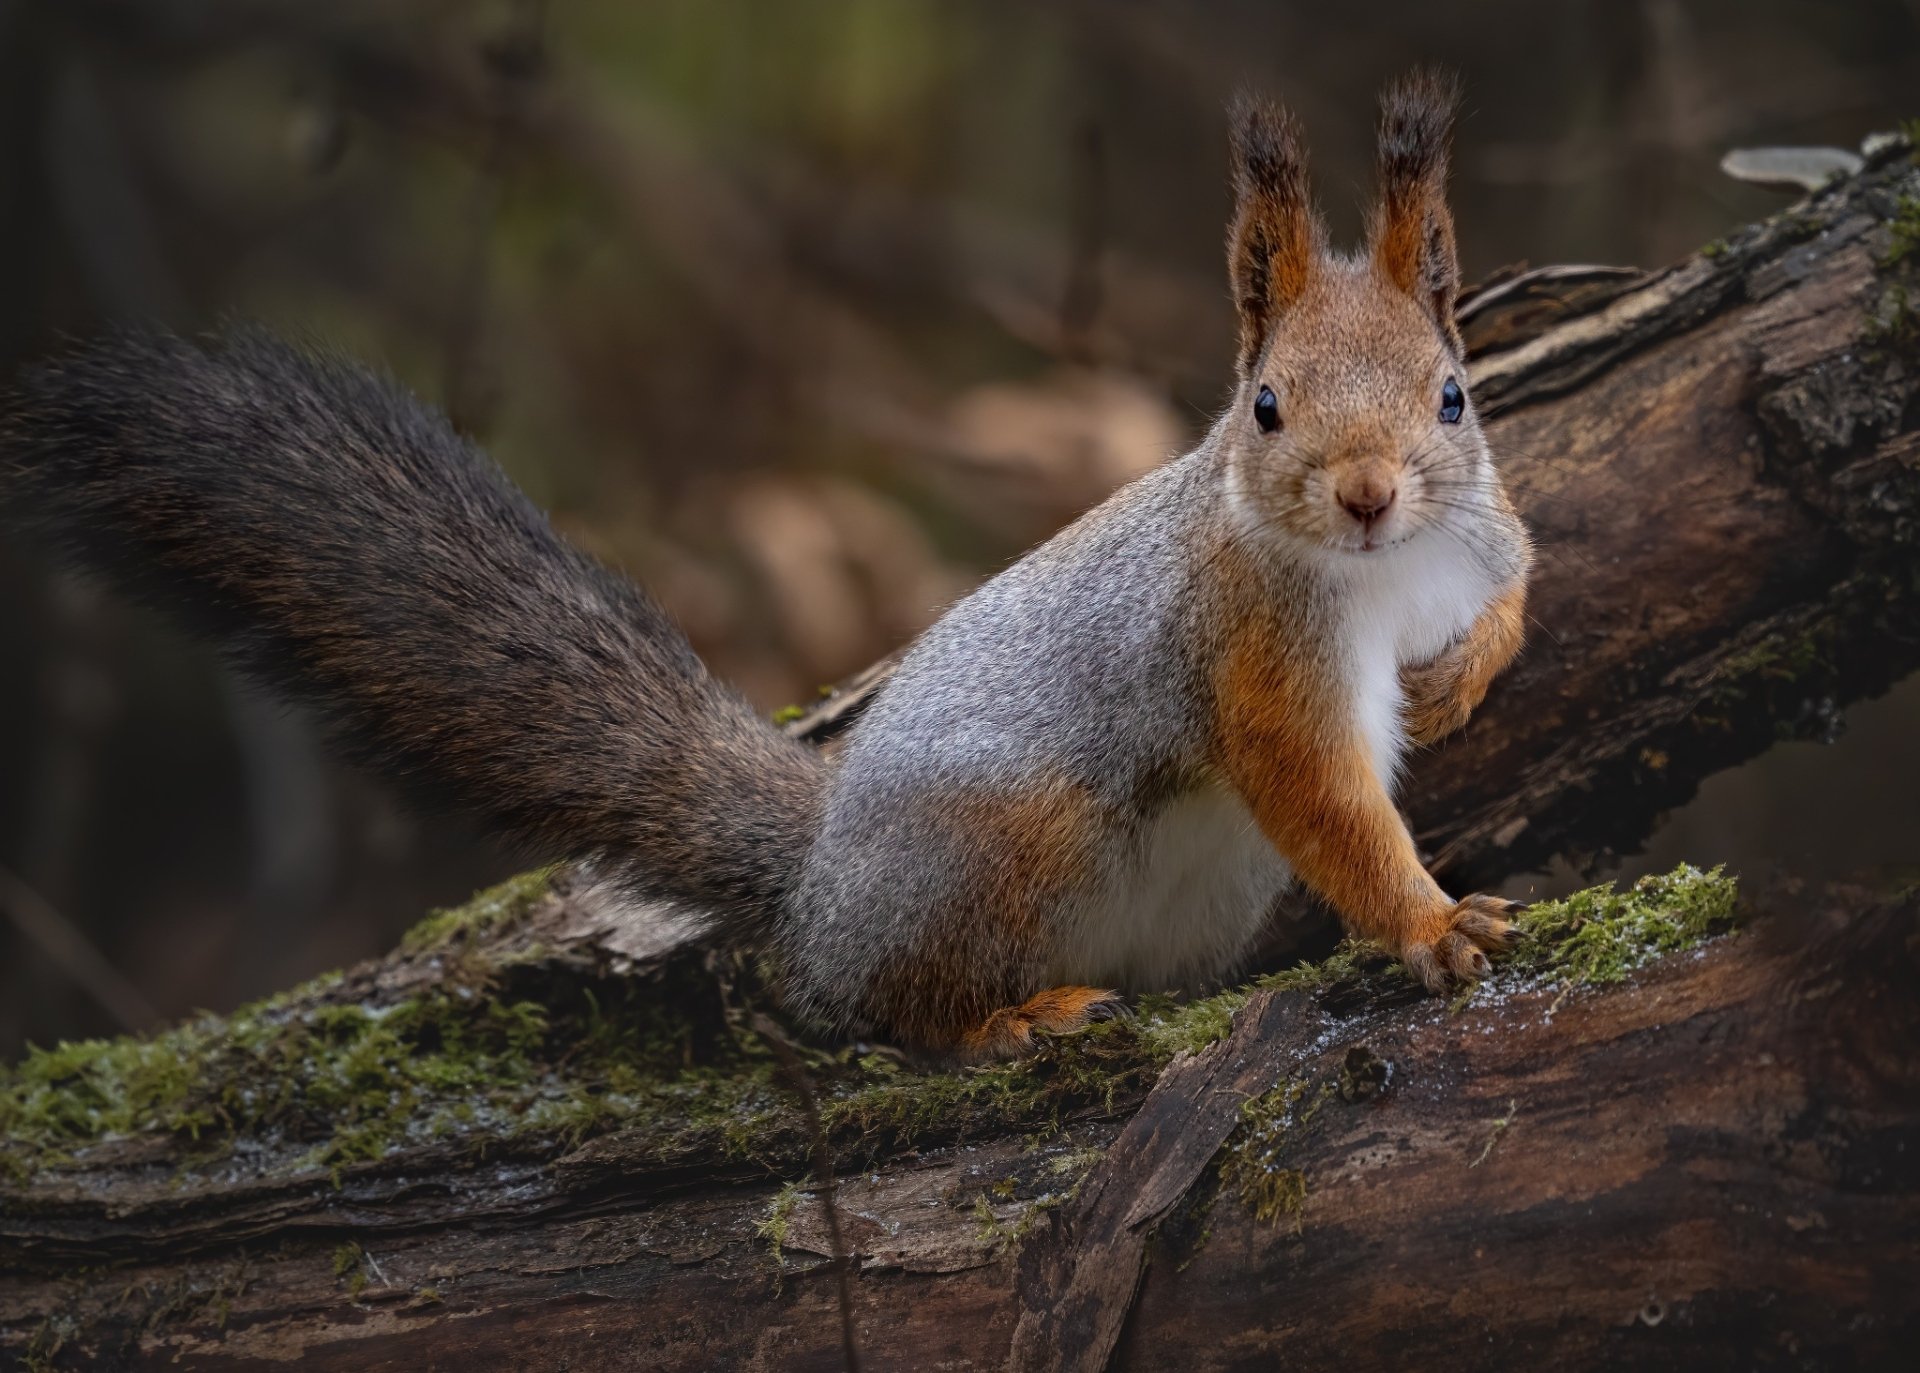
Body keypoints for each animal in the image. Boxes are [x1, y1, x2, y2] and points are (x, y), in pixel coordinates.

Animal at [1, 71, 1530, 1062]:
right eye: (1265, 406)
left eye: (1454, 396)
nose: (1368, 493)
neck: (1379, 569)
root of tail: (819, 875)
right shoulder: (1251, 640)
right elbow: (1316, 790)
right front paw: (1430, 922)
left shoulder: (1485, 530)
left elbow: (1517, 591)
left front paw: (1459, 680)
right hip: (1012, 841)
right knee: (881, 1006)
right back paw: (1009, 1017)